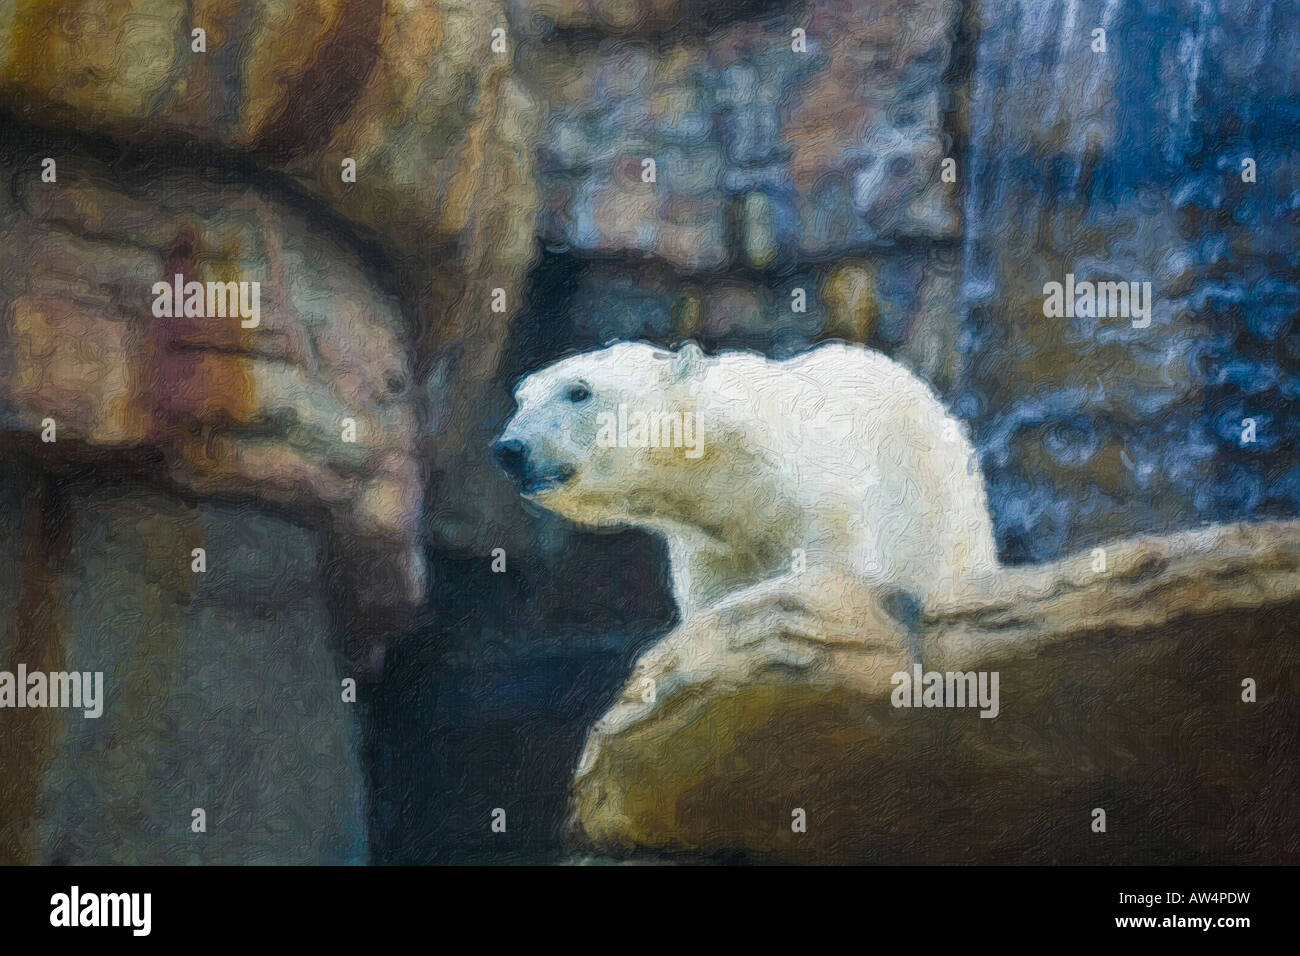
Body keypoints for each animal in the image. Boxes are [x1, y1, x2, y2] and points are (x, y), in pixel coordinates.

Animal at [493, 341, 1000, 625]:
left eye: (579, 391)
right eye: (521, 397)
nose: (510, 449)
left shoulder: (826, 496)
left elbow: (831, 568)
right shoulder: (708, 547)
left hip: (943, 510)